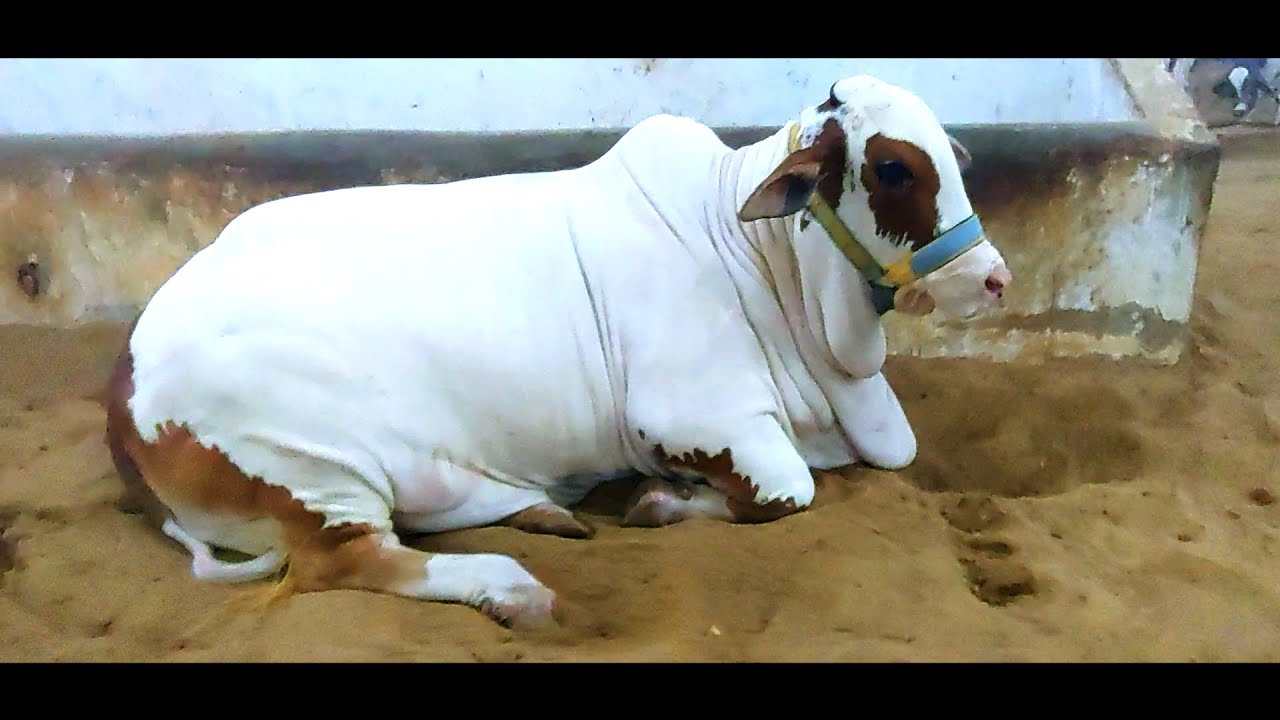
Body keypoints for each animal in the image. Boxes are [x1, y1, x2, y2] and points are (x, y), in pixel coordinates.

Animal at [104, 75, 1012, 628]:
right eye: (893, 168)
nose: (995, 278)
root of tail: (124, 387)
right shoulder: (696, 414)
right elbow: (787, 490)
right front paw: (665, 499)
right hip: (315, 466)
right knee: (348, 561)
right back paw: (514, 587)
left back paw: (543, 510)